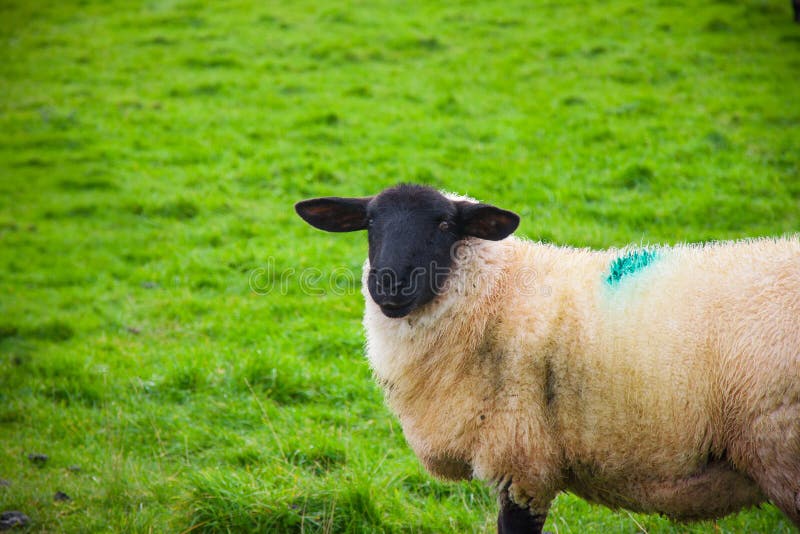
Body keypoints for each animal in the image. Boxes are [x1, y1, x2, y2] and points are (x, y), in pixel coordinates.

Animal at [295, 183, 800, 533]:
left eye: (443, 225)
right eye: (370, 224)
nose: (389, 285)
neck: (498, 296)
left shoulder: (522, 462)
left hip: (780, 448)